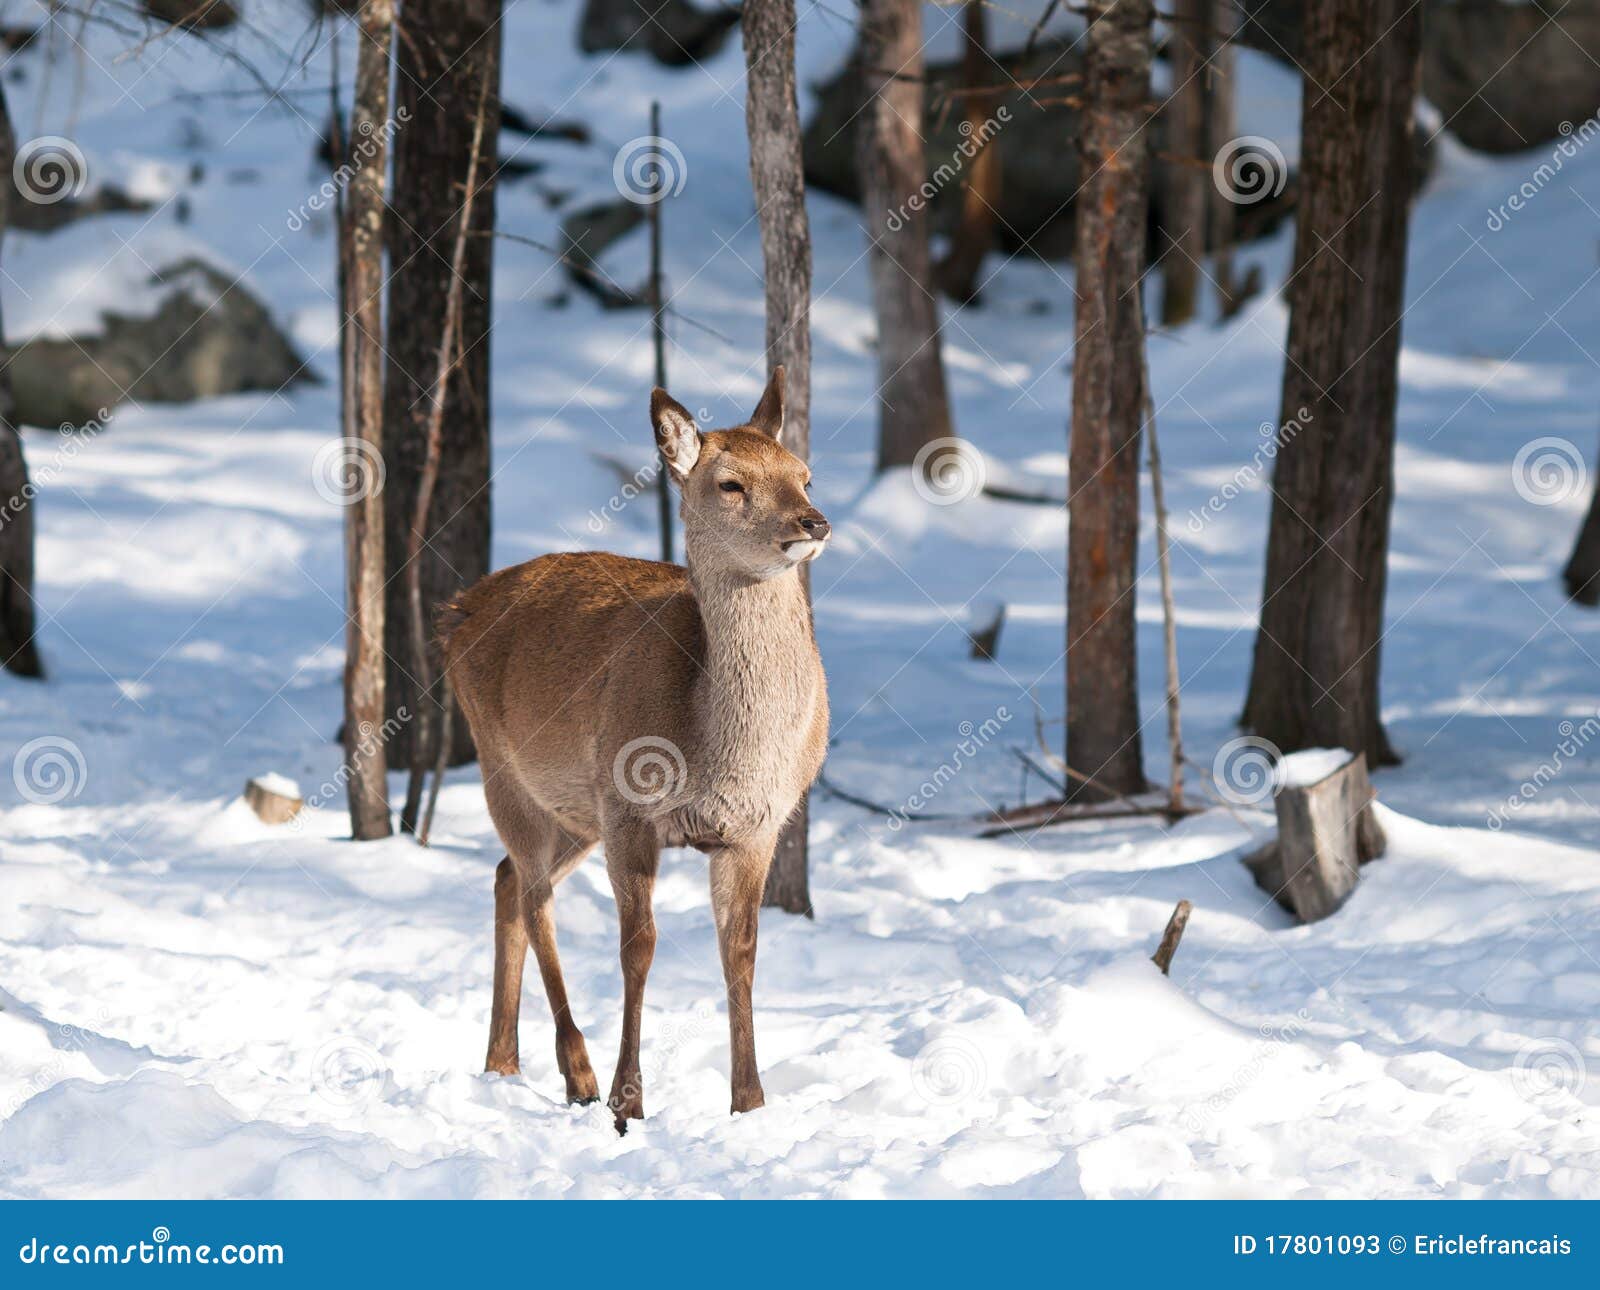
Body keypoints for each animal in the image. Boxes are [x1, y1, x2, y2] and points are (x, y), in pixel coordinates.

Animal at [438, 368, 829, 1133]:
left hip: (569, 810)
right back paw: (578, 1073)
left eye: (803, 473)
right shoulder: (627, 808)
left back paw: (502, 1062)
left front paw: (750, 1103)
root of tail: (457, 606)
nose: (813, 521)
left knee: (505, 879)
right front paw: (629, 1103)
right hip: (504, 766)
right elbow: (638, 946)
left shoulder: (758, 824)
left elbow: (741, 949)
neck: (718, 748)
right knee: (534, 894)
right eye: (731, 483)